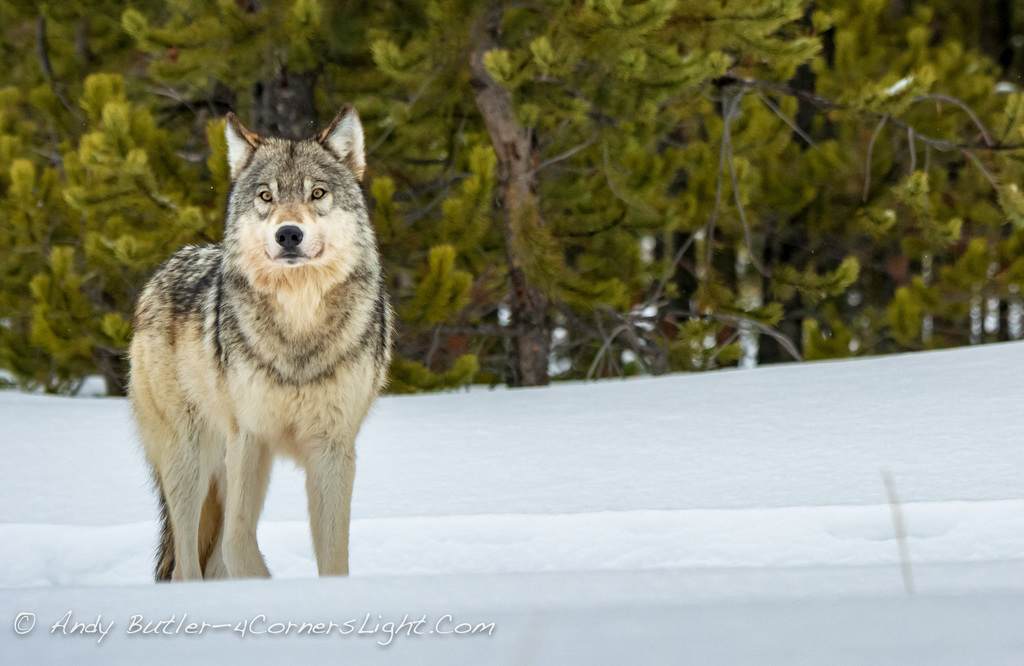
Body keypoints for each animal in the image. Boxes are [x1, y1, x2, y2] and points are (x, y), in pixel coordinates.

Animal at [128, 105, 392, 581]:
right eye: (266, 196)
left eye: (317, 193)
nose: (288, 234)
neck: (298, 327)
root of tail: (162, 270)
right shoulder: (248, 438)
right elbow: (237, 545)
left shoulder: (332, 448)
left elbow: (333, 556)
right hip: (192, 462)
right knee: (187, 565)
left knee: (209, 559)